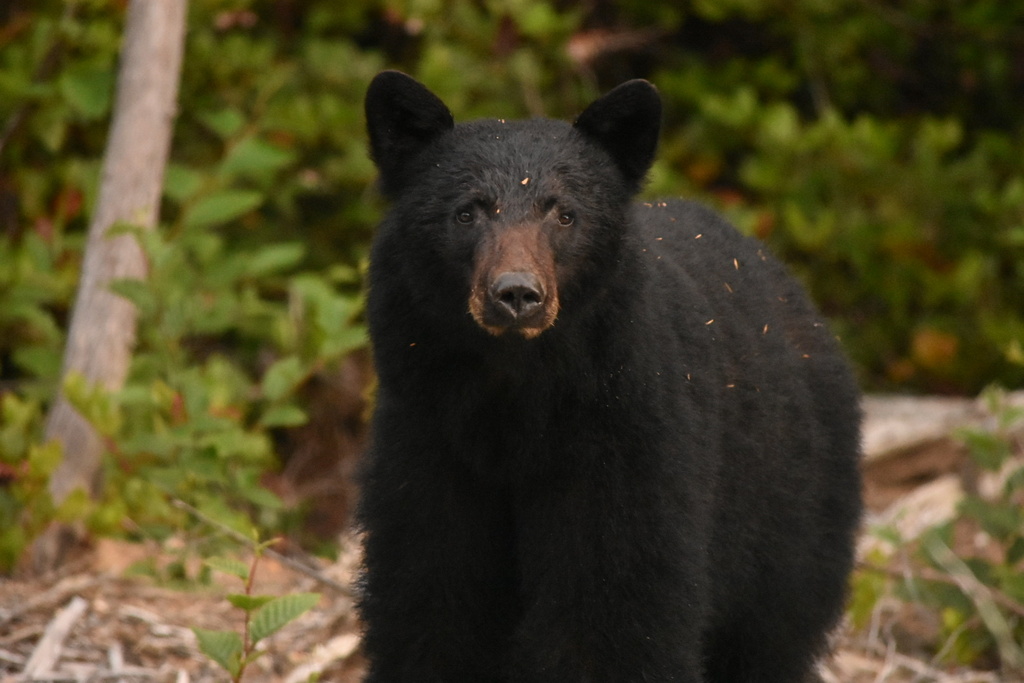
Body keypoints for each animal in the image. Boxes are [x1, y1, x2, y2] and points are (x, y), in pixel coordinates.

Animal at [356, 70, 862, 683]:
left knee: (771, 635)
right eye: (468, 211)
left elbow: (613, 603)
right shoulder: (428, 438)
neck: (513, 397)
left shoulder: (625, 437)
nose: (517, 294)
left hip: (789, 512)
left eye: (563, 213)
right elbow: (430, 593)